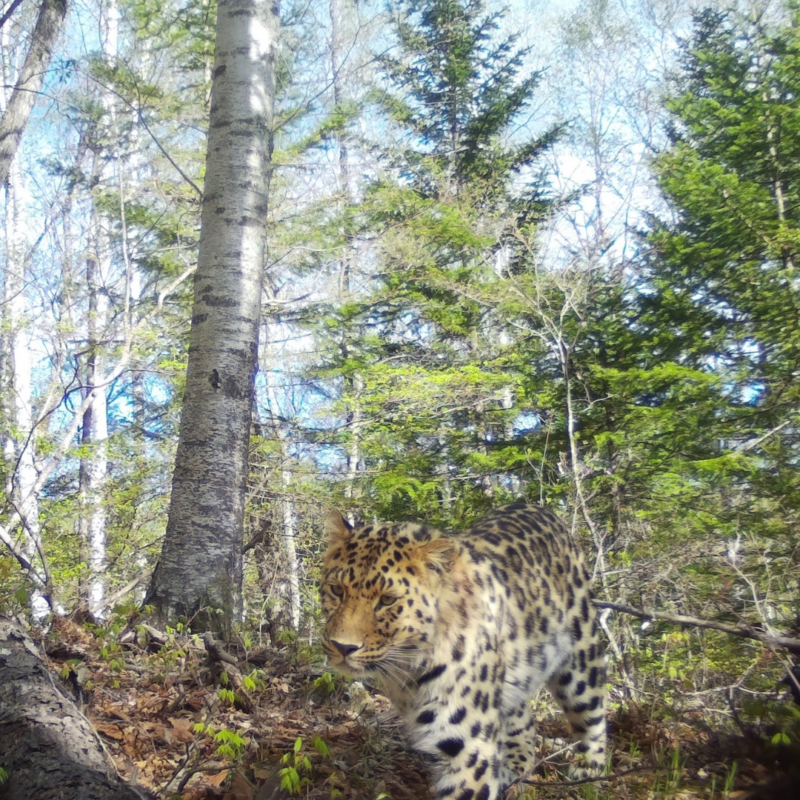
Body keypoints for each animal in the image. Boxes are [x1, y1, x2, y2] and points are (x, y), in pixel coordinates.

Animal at [319, 501, 607, 800]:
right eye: (336, 590)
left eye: (388, 600)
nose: (343, 646)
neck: (408, 667)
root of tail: (533, 506)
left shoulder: (468, 747)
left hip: (580, 659)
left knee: (593, 715)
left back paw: (588, 772)